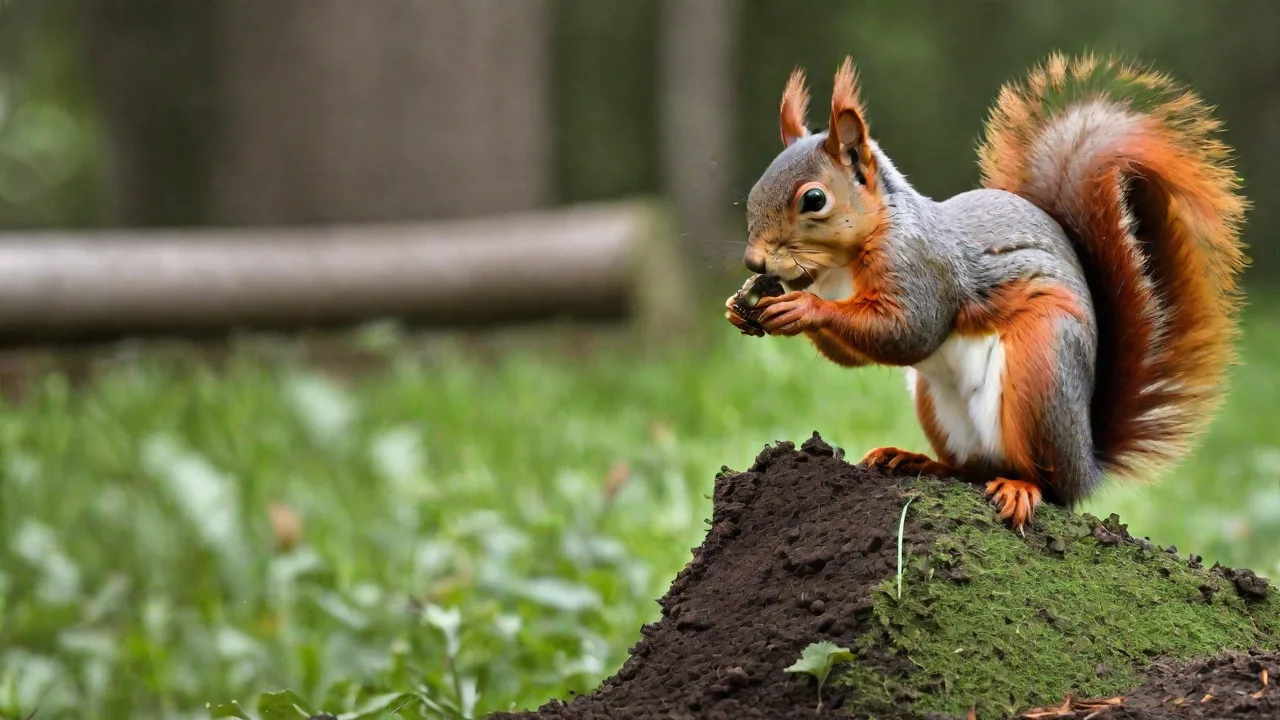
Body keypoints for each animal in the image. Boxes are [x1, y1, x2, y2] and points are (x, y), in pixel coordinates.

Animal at [724, 52, 1248, 532]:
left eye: (814, 199)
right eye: (755, 191)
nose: (754, 263)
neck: (841, 266)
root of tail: (1087, 463)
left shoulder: (922, 268)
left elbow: (908, 331)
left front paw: (802, 306)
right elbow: (854, 354)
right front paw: (742, 309)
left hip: (1040, 371)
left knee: (1047, 483)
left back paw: (1021, 487)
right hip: (938, 404)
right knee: (972, 470)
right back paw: (916, 461)